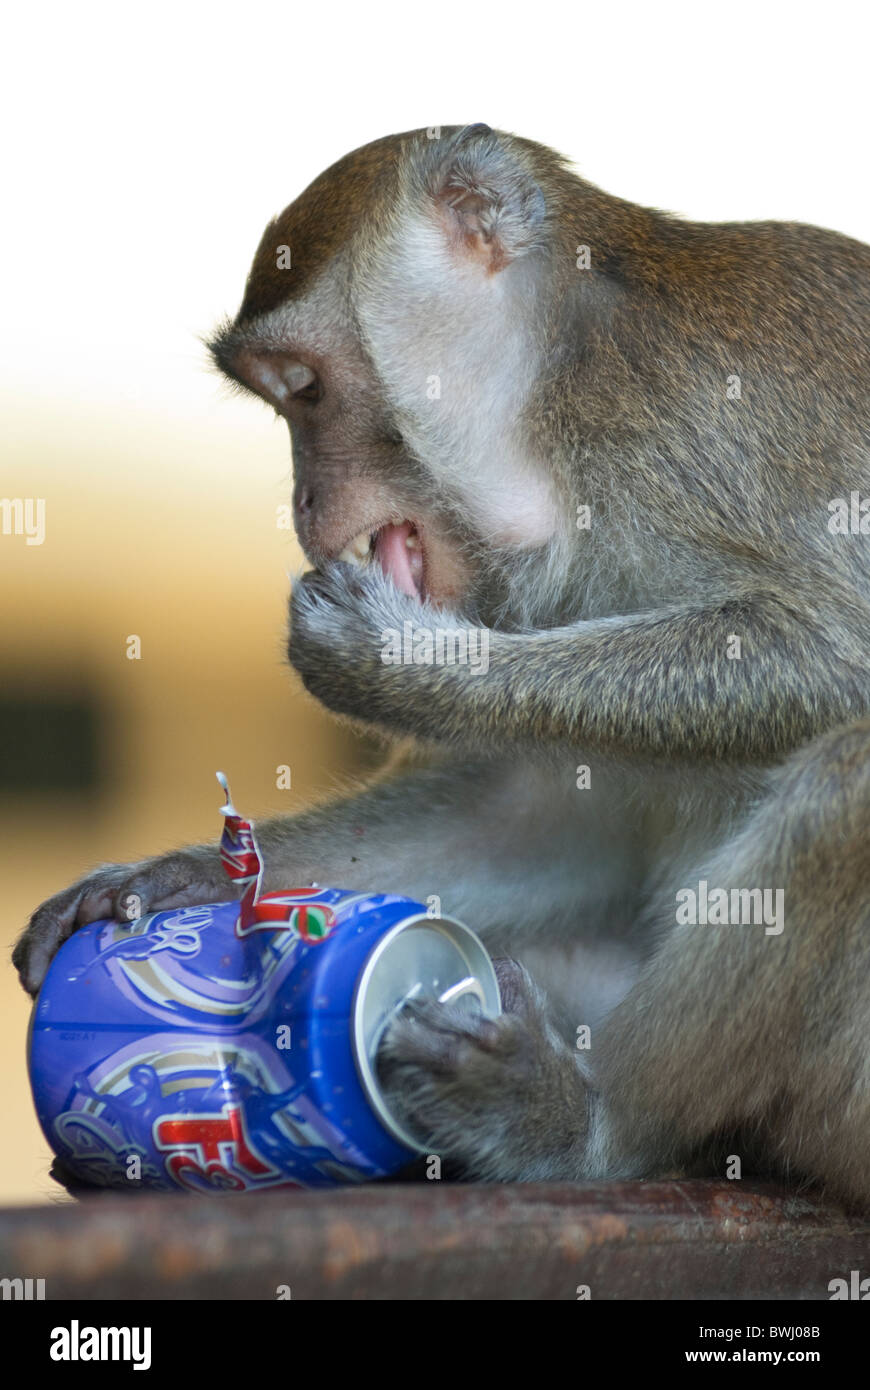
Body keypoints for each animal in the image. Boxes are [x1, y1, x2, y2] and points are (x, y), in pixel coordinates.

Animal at [14, 124, 870, 1209]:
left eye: (304, 388)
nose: (301, 500)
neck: (553, 399)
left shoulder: (679, 432)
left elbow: (838, 651)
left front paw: (396, 663)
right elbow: (546, 818)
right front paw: (187, 882)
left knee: (850, 774)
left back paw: (583, 1125)